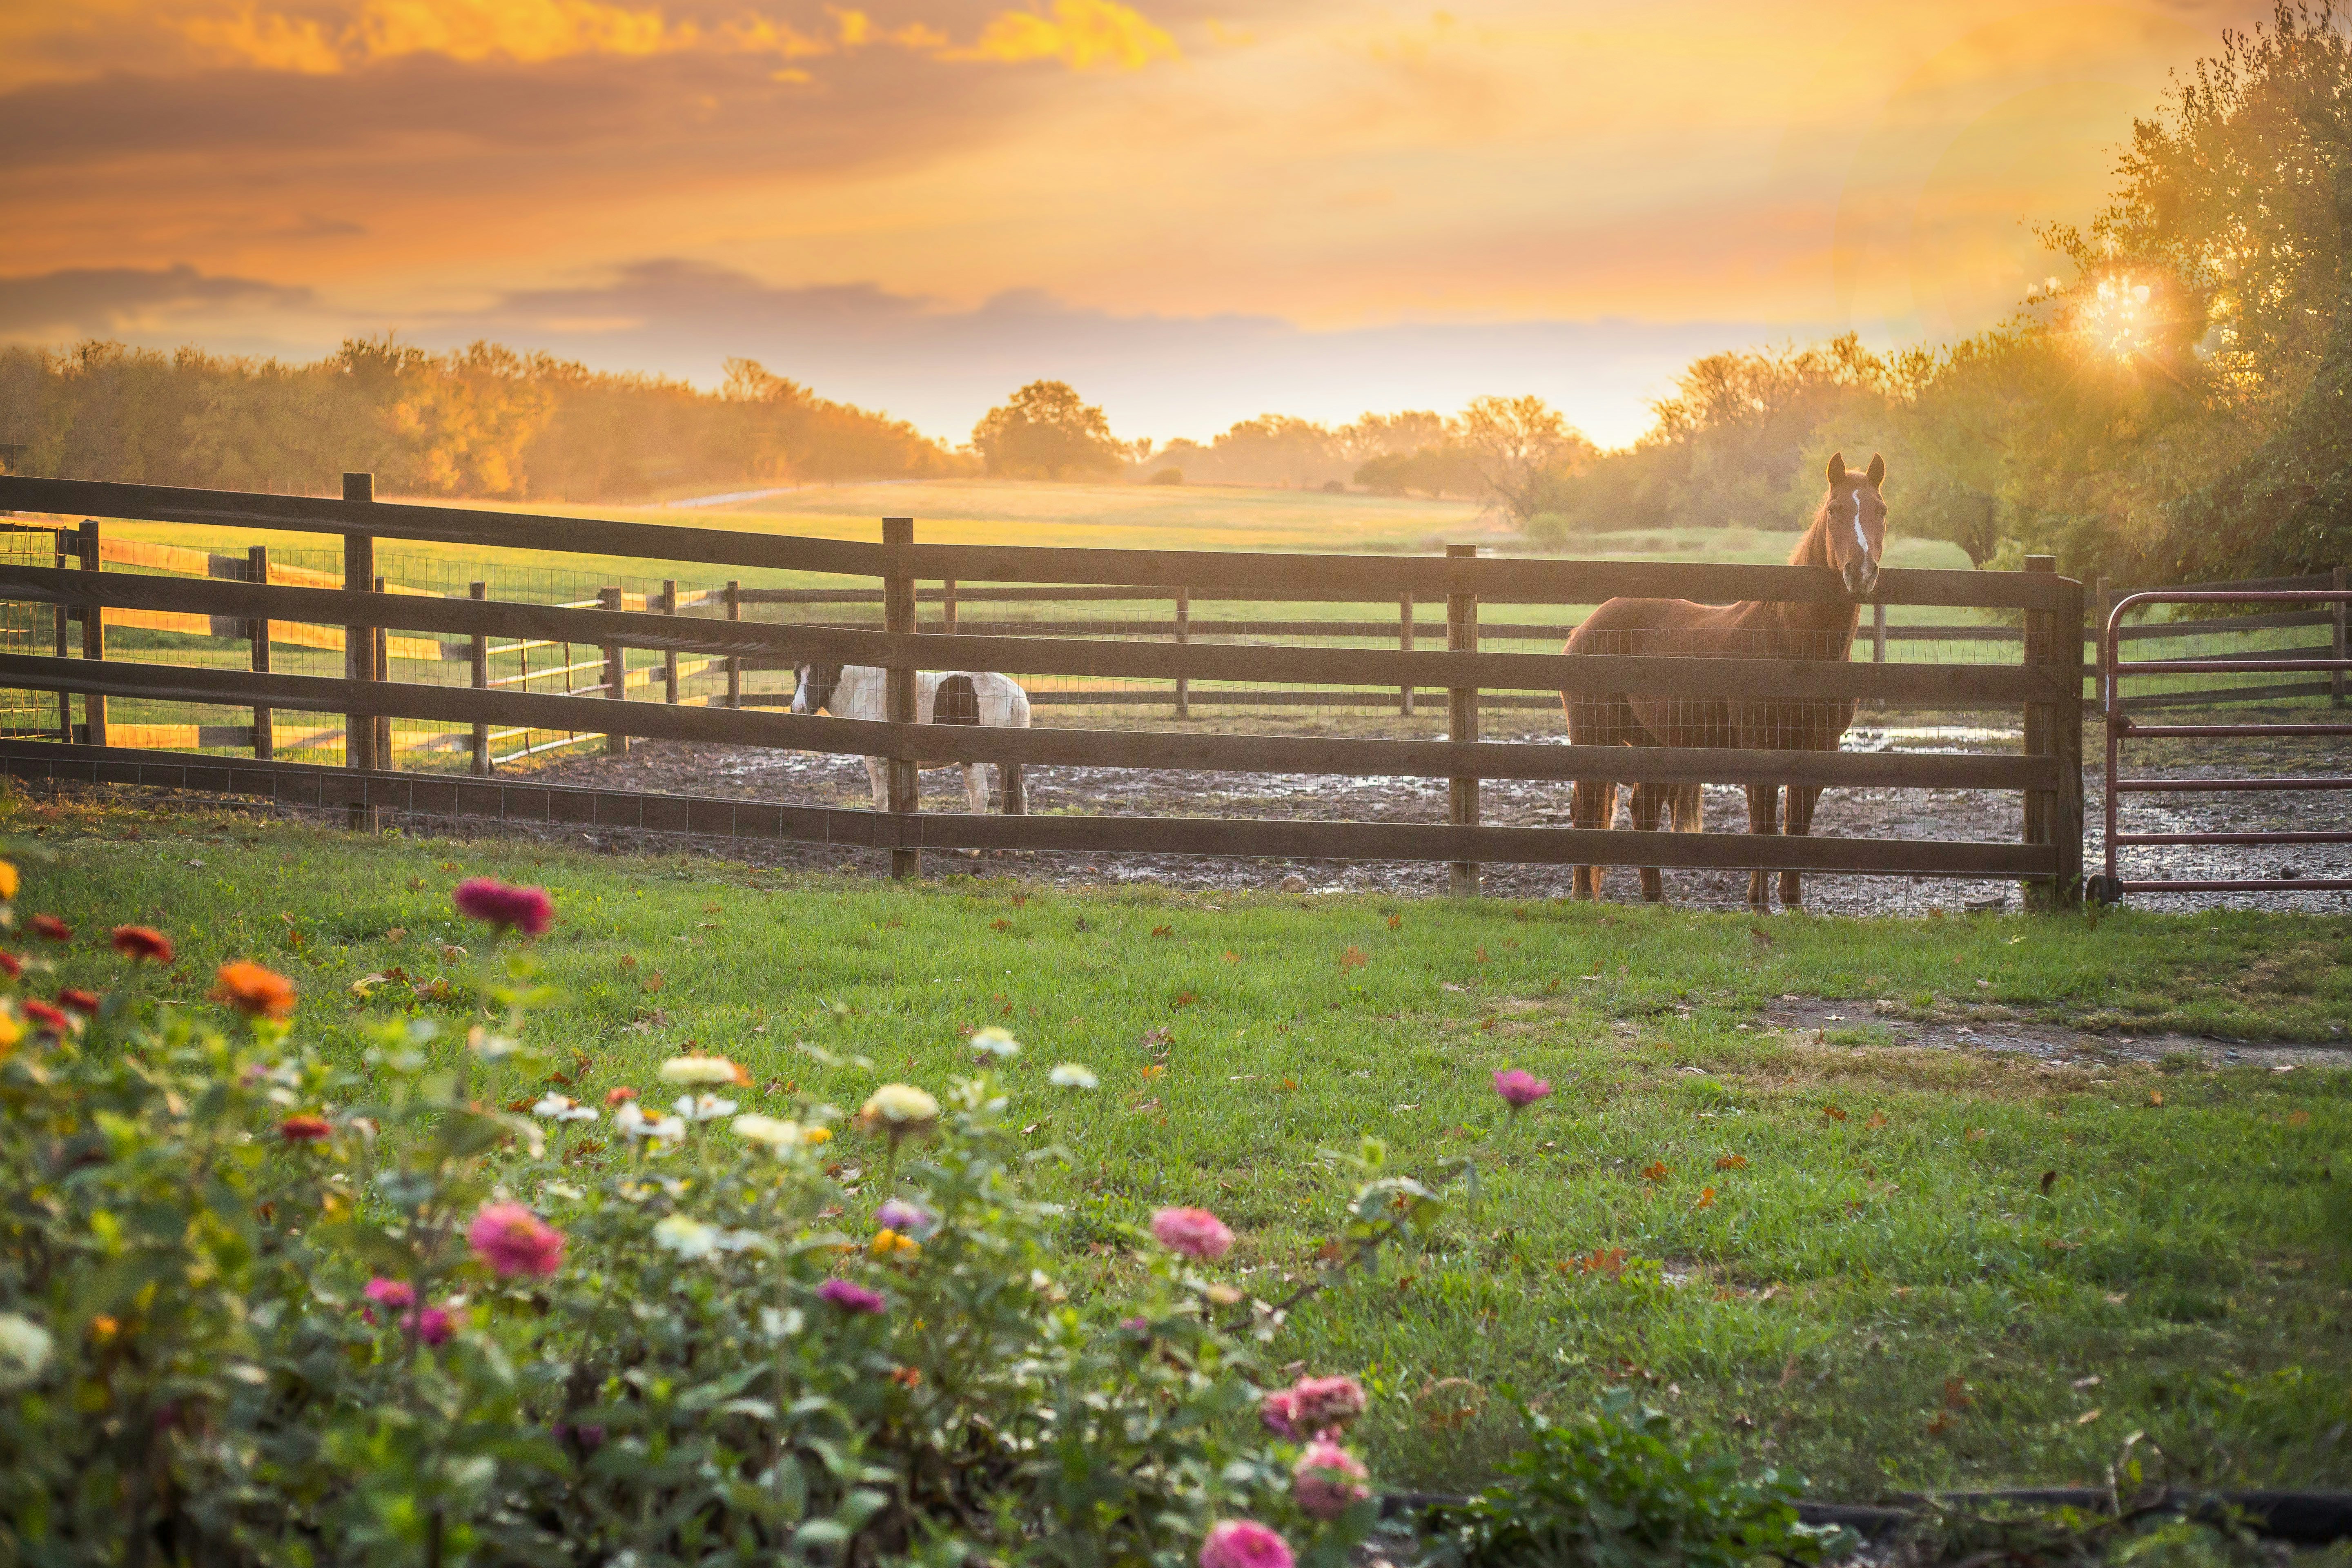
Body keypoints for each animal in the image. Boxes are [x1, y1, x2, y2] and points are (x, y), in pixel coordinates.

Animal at [790, 662, 1033, 814]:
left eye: (821, 673)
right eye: (796, 674)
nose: (798, 710)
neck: (862, 688)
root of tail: (1014, 694)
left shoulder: (876, 761)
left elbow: (880, 797)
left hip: (975, 762)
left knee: (981, 797)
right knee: (1019, 794)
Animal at [1562, 451, 1886, 911]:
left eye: (1881, 510)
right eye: (1834, 509)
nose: (1861, 573)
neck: (1793, 644)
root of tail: (1584, 628)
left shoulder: (1819, 749)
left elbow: (1798, 825)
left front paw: (1793, 903)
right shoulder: (1761, 747)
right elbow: (1763, 824)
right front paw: (1759, 902)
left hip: (1652, 744)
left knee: (1642, 809)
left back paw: (1655, 897)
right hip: (1593, 736)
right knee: (1586, 808)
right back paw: (1582, 893)